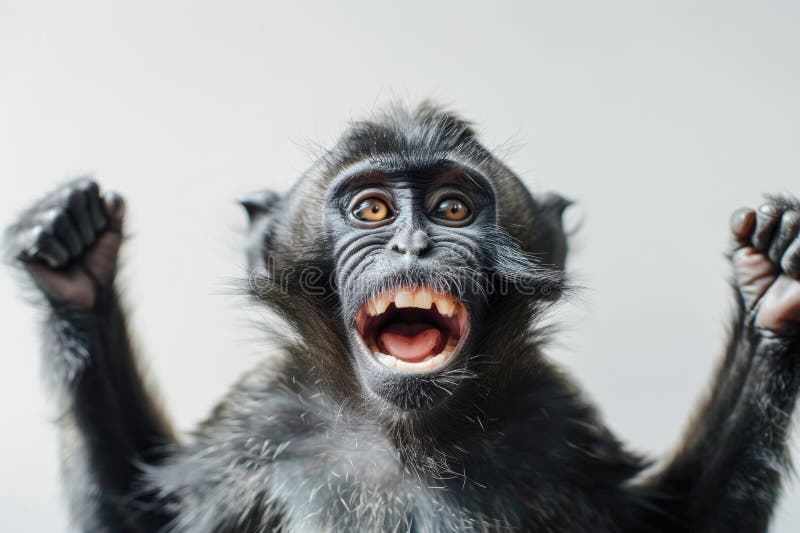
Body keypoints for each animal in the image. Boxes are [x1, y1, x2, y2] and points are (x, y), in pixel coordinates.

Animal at [5, 103, 800, 532]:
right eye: (372, 210)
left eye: (451, 208)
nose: (414, 244)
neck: (407, 436)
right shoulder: (260, 418)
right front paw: (75, 271)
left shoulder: (556, 423)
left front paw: (770, 288)